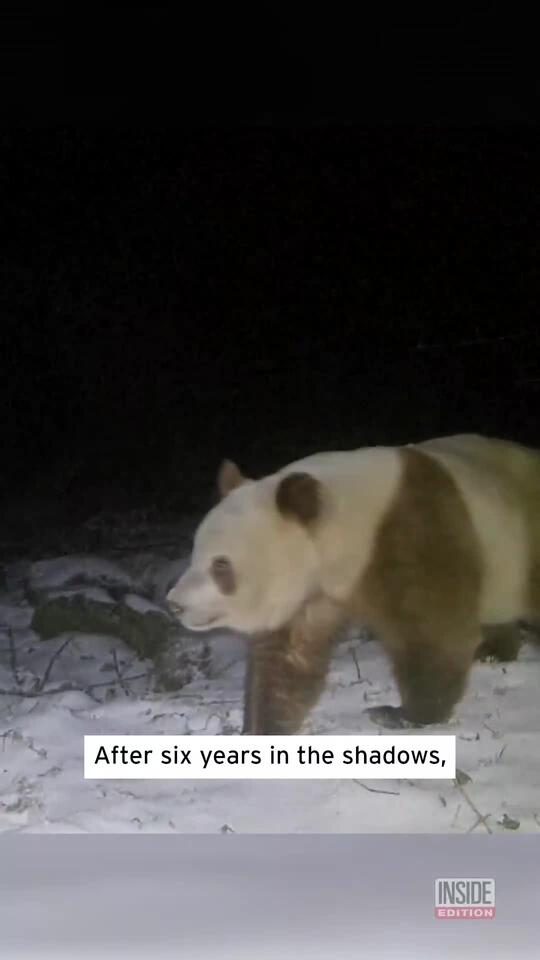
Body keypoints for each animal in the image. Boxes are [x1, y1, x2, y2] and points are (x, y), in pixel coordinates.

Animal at [166, 434, 540, 734]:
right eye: (194, 551)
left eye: (221, 565)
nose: (175, 604)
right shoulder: (312, 589)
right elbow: (289, 660)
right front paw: (262, 729)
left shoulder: (414, 535)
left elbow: (434, 631)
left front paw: (403, 715)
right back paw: (495, 650)